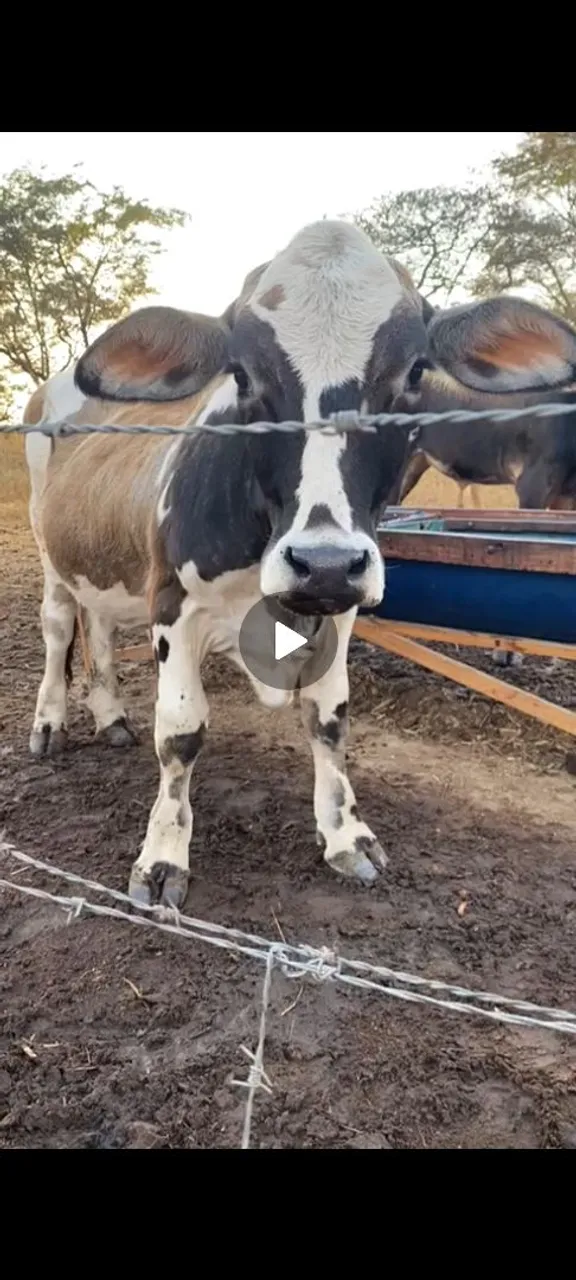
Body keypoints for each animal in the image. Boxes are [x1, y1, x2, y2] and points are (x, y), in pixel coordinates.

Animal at [24, 221, 576, 908]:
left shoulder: (339, 610)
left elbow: (329, 719)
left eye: (416, 370)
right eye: (241, 375)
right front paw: (162, 857)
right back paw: (49, 724)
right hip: (49, 550)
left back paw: (110, 716)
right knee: (57, 629)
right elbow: (180, 733)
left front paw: (346, 835)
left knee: (97, 624)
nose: (325, 561)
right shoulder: (173, 608)